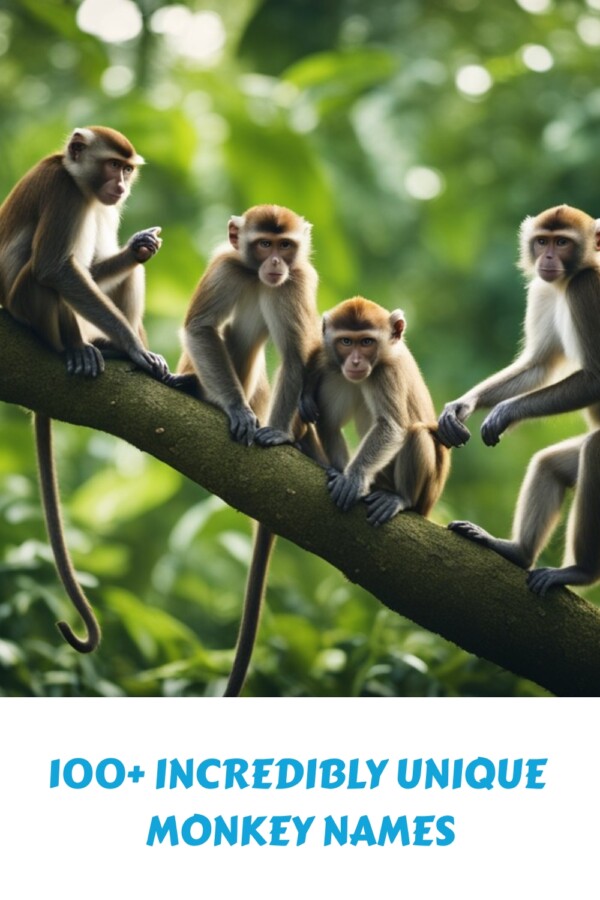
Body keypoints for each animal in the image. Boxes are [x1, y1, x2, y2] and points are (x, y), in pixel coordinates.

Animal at [0, 125, 168, 651]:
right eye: (113, 164)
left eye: (128, 169)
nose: (121, 185)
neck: (81, 184)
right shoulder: (63, 193)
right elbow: (57, 269)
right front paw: (133, 346)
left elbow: (95, 268)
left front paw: (138, 247)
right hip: (24, 307)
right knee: (42, 274)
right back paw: (77, 348)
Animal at [167, 204, 322, 695]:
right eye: (263, 244)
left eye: (286, 246)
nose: (274, 263)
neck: (259, 279)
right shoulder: (226, 267)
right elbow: (200, 329)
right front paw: (234, 409)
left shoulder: (296, 283)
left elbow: (295, 356)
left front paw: (275, 434)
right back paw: (195, 388)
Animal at [299, 296, 450, 525]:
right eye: (346, 341)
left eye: (367, 342)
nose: (355, 362)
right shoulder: (335, 373)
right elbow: (330, 425)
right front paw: (340, 471)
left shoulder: (387, 373)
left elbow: (391, 427)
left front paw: (354, 478)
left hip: (427, 495)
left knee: (416, 433)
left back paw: (402, 499)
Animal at [437, 204, 600, 596]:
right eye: (542, 241)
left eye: (562, 242)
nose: (548, 258)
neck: (569, 279)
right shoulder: (544, 289)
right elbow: (537, 366)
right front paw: (462, 406)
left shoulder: (585, 290)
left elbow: (595, 379)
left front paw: (504, 412)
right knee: (549, 464)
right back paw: (517, 552)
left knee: (593, 453)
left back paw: (580, 572)